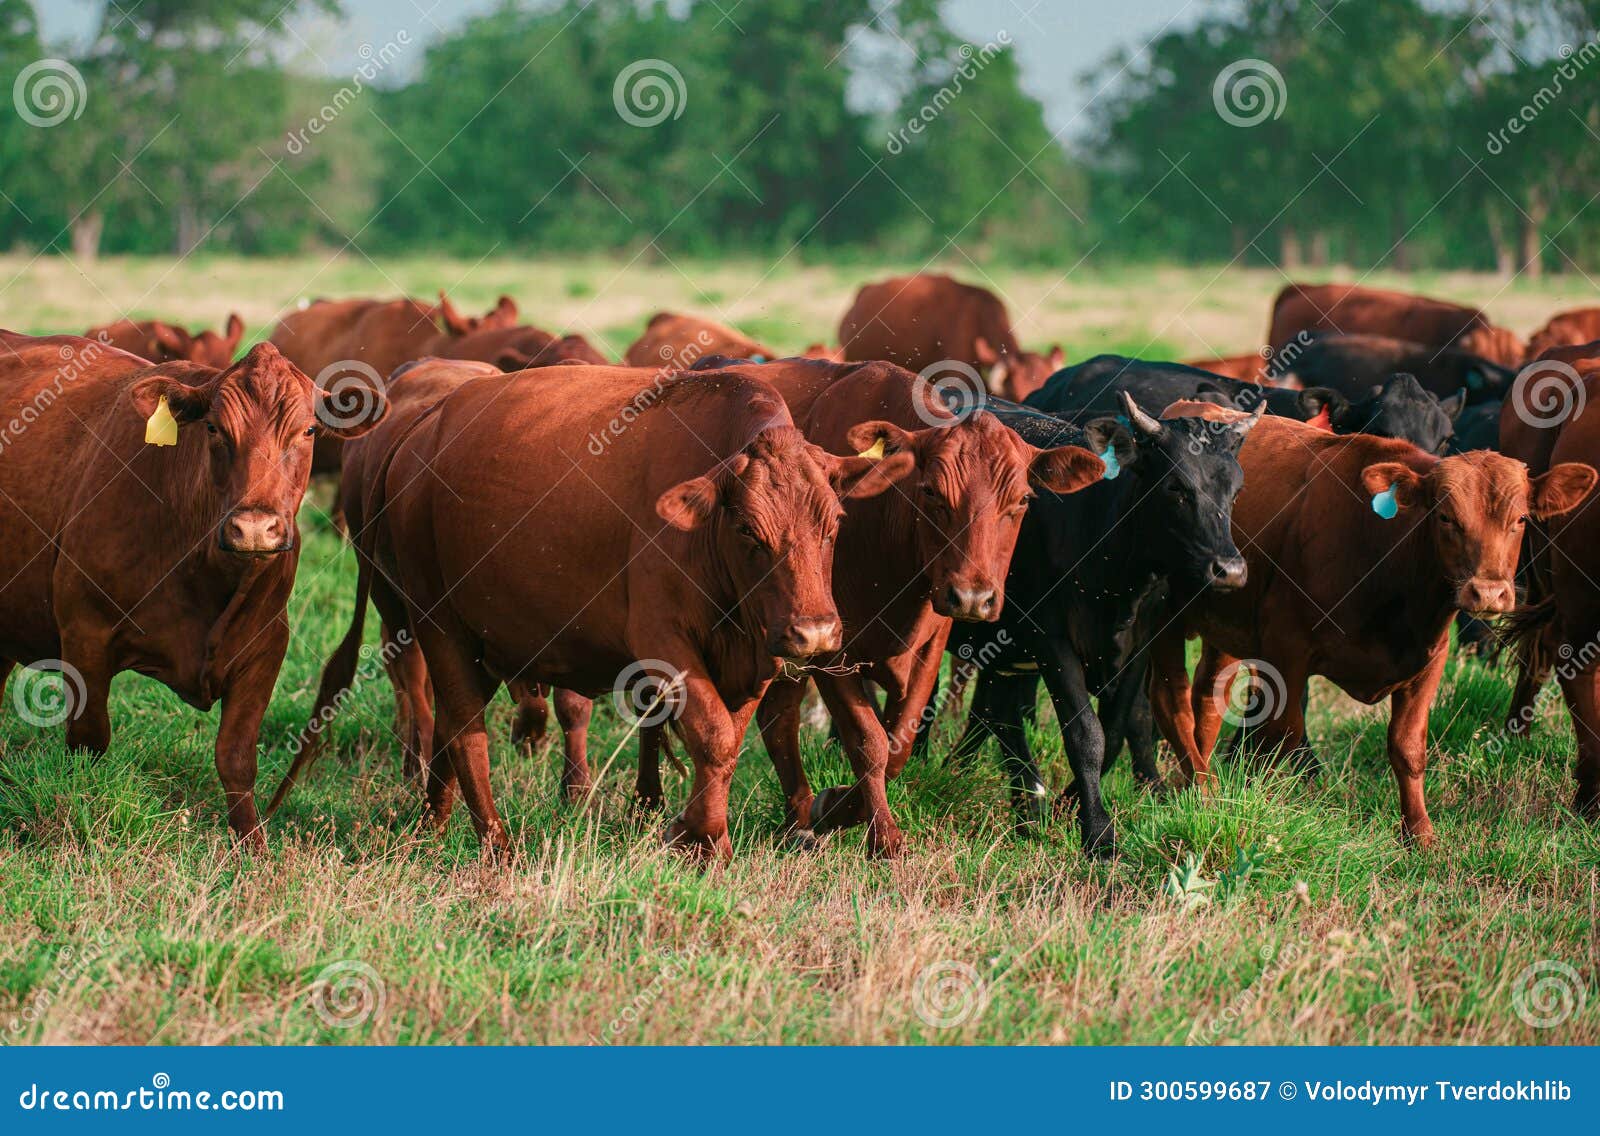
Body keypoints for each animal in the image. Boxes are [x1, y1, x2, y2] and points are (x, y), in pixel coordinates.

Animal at [0, 331, 386, 847]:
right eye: (214, 429)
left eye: (307, 431)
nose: (255, 528)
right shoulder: (85, 635)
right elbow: (89, 742)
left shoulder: (266, 646)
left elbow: (236, 756)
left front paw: (253, 846)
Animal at [273, 363, 907, 861]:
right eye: (750, 529)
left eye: (835, 522)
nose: (814, 632)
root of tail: (420, 428)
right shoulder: (663, 641)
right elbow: (710, 735)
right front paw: (707, 842)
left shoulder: (753, 653)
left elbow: (727, 741)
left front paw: (691, 830)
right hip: (438, 625)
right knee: (465, 731)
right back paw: (495, 844)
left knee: (453, 730)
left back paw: (434, 818)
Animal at [620, 358, 1107, 857]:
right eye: (931, 492)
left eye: (1023, 500)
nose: (972, 597)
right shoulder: (831, 649)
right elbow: (868, 741)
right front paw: (875, 834)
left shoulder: (928, 645)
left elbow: (899, 743)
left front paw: (837, 808)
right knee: (657, 707)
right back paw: (649, 804)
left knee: (777, 722)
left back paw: (795, 820)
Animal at [938, 393, 1258, 856]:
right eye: (1176, 487)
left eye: (1235, 490)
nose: (1229, 571)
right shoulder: (1050, 641)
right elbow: (1087, 735)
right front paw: (1098, 834)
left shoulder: (1141, 643)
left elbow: (1121, 726)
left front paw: (1070, 805)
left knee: (997, 713)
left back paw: (1021, 799)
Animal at [1146, 412, 1595, 847]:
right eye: (1445, 517)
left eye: (1520, 519)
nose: (1487, 592)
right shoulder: (1285, 653)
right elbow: (1284, 738)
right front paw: (1282, 809)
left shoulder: (1429, 661)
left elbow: (1407, 747)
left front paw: (1420, 834)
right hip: (1165, 620)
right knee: (1173, 702)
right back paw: (1199, 790)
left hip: (1225, 627)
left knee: (1208, 700)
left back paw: (1198, 783)